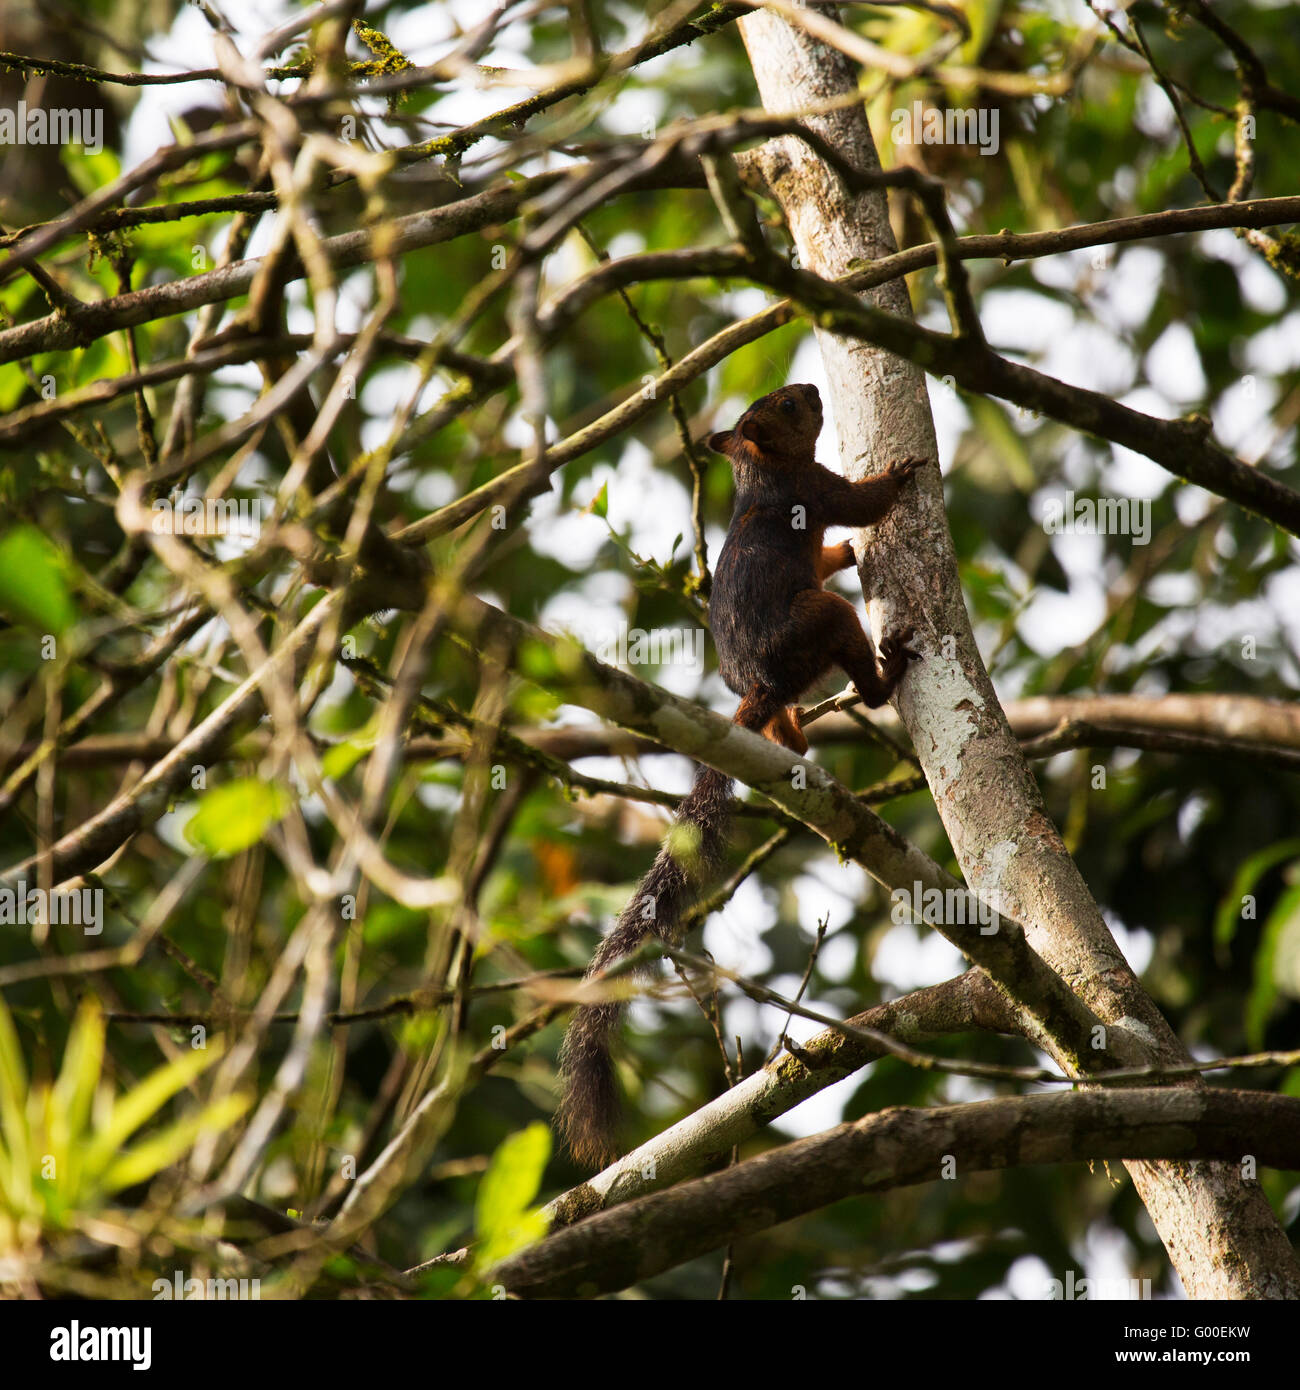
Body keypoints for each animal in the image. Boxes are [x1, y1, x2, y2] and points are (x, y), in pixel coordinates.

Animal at [555, 382, 926, 1168]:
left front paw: (846, 549)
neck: (759, 474)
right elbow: (860, 504)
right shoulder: (813, 487)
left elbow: (832, 545)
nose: (812, 389)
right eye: (788, 407)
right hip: (821, 620)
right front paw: (899, 476)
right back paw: (887, 674)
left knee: (786, 722)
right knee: (850, 645)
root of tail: (759, 684)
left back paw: (798, 734)